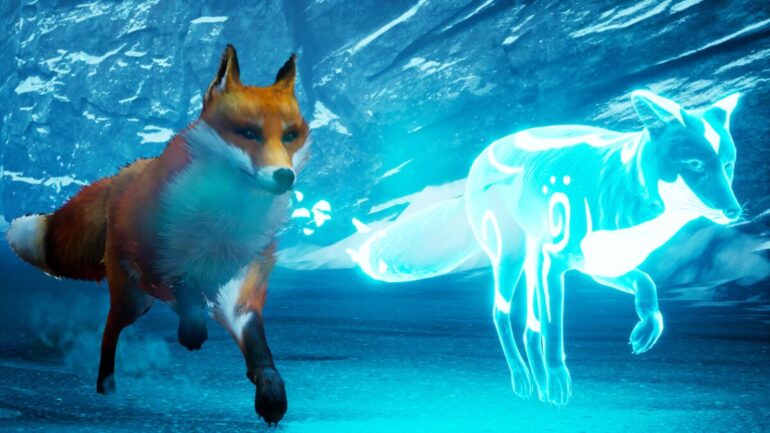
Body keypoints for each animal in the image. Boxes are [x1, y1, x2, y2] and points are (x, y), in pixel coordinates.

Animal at [6, 45, 308, 425]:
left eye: (290, 136)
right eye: (249, 134)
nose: (284, 176)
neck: (224, 227)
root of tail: (124, 174)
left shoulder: (242, 285)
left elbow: (258, 347)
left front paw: (270, 392)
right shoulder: (160, 261)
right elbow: (185, 292)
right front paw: (192, 328)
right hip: (132, 299)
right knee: (110, 331)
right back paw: (106, 387)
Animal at [351, 90, 742, 406]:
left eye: (727, 165)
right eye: (695, 164)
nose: (735, 211)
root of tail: (480, 157)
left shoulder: (600, 266)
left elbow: (646, 284)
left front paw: (647, 328)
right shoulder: (558, 263)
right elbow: (555, 333)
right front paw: (556, 384)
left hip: (532, 262)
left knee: (529, 328)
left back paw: (535, 383)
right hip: (512, 259)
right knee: (502, 315)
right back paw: (524, 381)